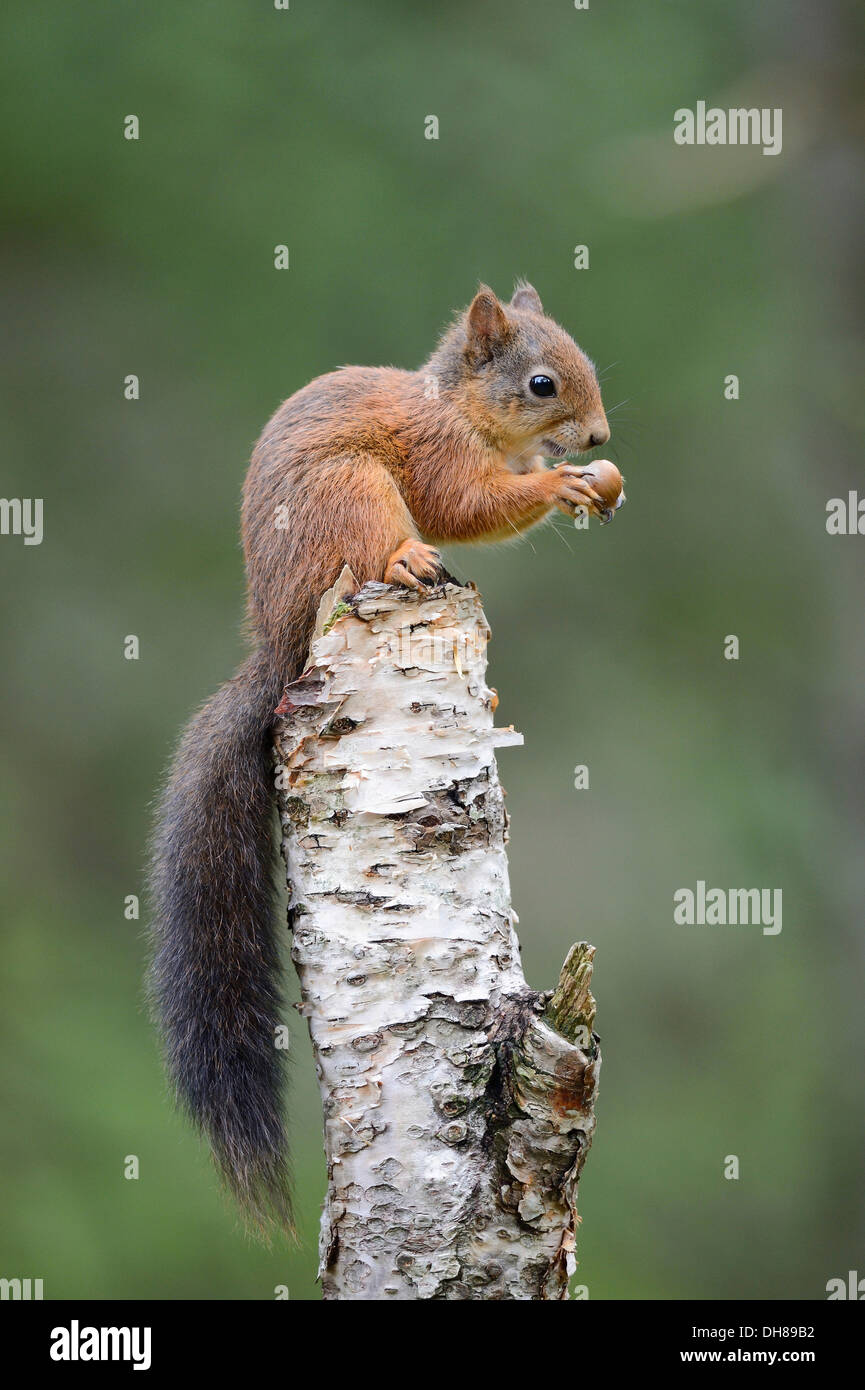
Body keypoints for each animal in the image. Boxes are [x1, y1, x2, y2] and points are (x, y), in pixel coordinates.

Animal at [148, 281, 612, 1232]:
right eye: (542, 384)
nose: (597, 440)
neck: (457, 408)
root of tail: (282, 637)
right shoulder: (434, 455)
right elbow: (463, 506)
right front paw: (555, 484)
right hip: (351, 494)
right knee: (386, 541)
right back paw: (402, 560)